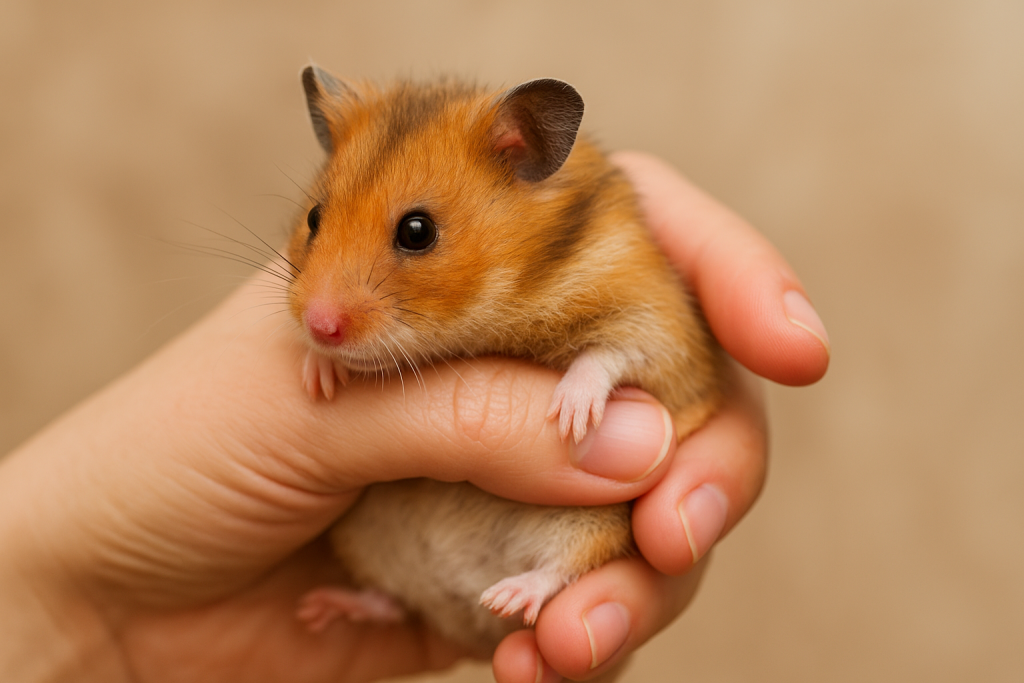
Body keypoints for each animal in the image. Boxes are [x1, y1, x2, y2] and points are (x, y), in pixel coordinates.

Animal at [287, 65, 725, 653]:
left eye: (417, 231)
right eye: (314, 216)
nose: (319, 324)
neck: (505, 298)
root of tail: (465, 619)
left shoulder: (659, 322)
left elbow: (608, 353)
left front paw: (569, 418)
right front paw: (319, 376)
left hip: (595, 523)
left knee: (564, 566)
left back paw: (508, 596)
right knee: (391, 601)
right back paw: (324, 608)